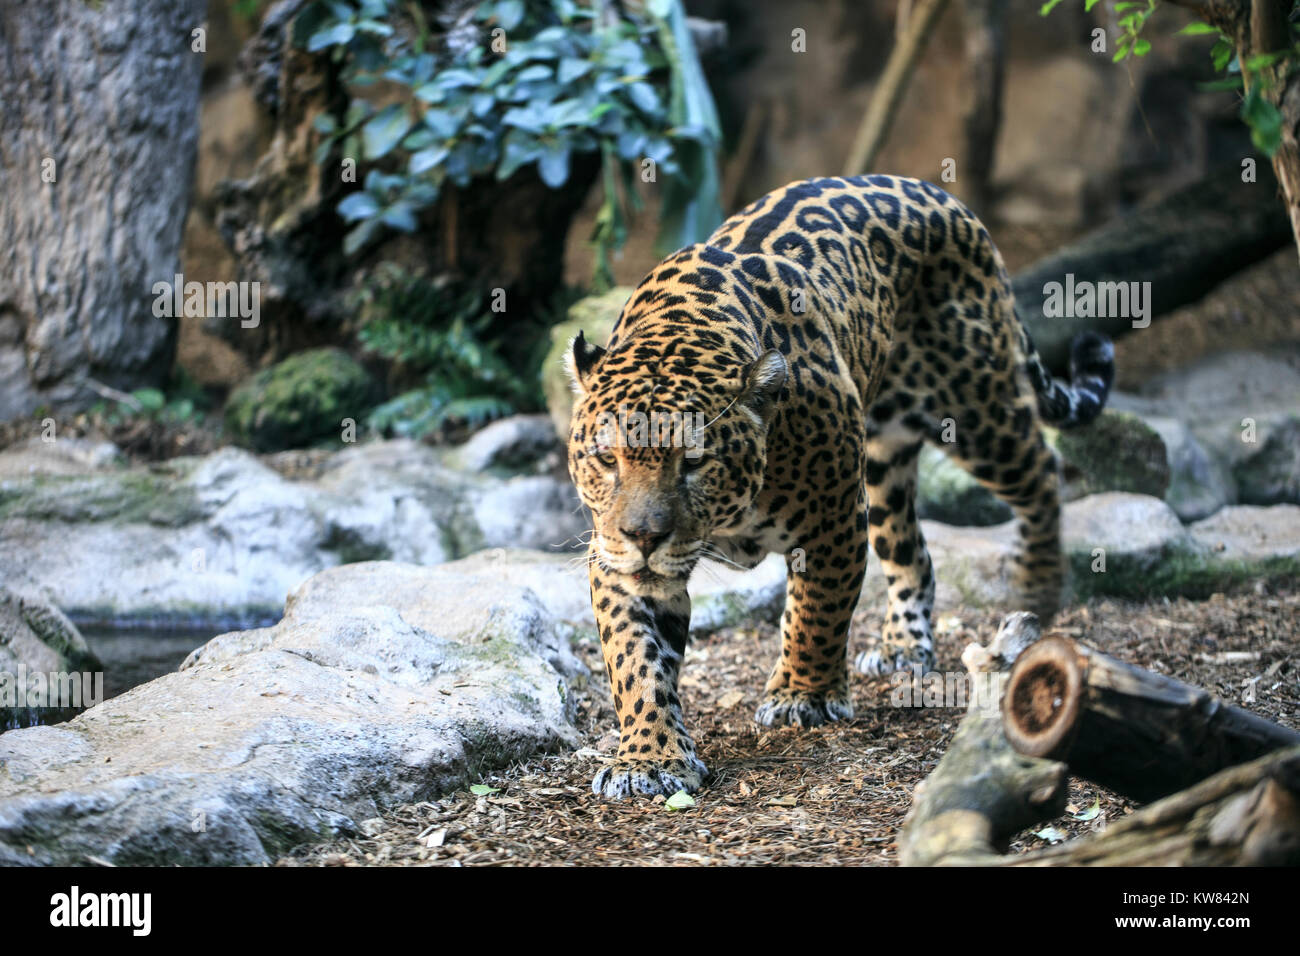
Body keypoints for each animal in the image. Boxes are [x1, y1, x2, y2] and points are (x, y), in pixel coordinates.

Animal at [564, 175, 1114, 799]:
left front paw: (801, 696)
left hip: (975, 408)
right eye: (606, 459)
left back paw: (1037, 584)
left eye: (695, 462)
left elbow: (817, 612)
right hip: (883, 459)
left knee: (1042, 469)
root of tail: (942, 196)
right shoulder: (612, 554)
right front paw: (648, 757)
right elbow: (635, 658)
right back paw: (902, 648)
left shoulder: (834, 518)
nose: (644, 537)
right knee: (913, 551)